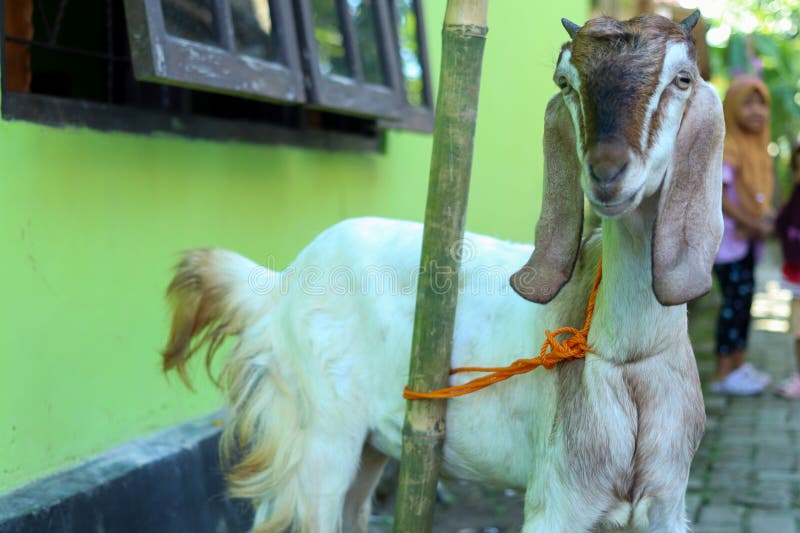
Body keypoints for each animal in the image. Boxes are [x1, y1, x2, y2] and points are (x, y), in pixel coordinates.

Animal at [162, 11, 723, 533]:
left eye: (683, 78)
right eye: (565, 82)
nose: (607, 173)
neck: (628, 362)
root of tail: (281, 285)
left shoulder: (667, 506)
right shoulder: (558, 501)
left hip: (369, 445)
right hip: (317, 436)